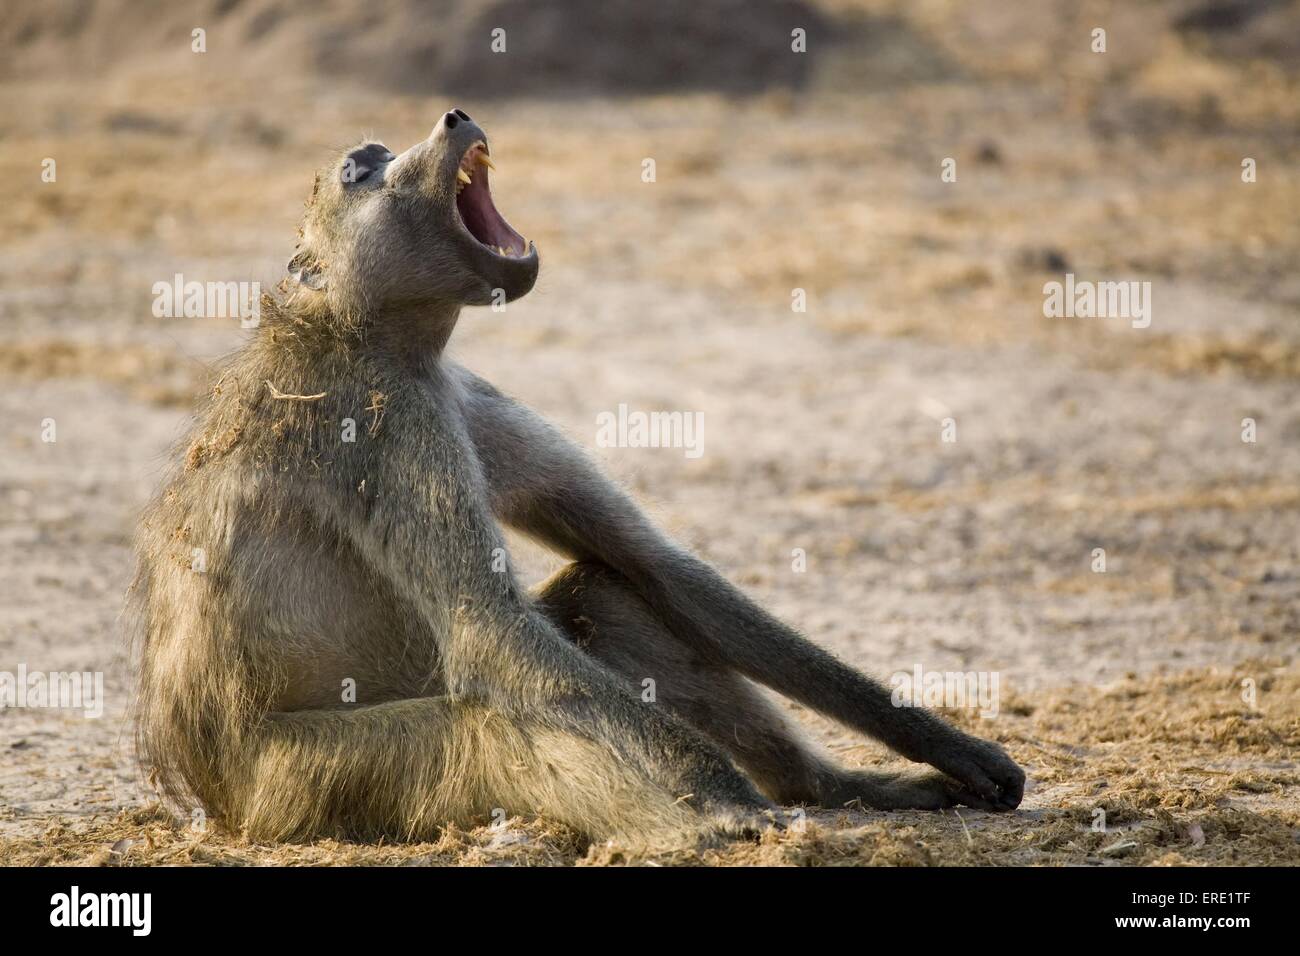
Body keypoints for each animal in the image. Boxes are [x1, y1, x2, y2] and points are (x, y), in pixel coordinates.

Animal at [129, 108, 1025, 847]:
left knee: (606, 596)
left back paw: (831, 789)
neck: (364, 329)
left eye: (382, 153)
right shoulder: (392, 431)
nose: (453, 116)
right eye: (361, 169)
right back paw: (693, 828)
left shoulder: (469, 396)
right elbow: (490, 631)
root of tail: (212, 801)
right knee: (496, 728)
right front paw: (724, 800)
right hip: (294, 786)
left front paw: (950, 746)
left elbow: (654, 566)